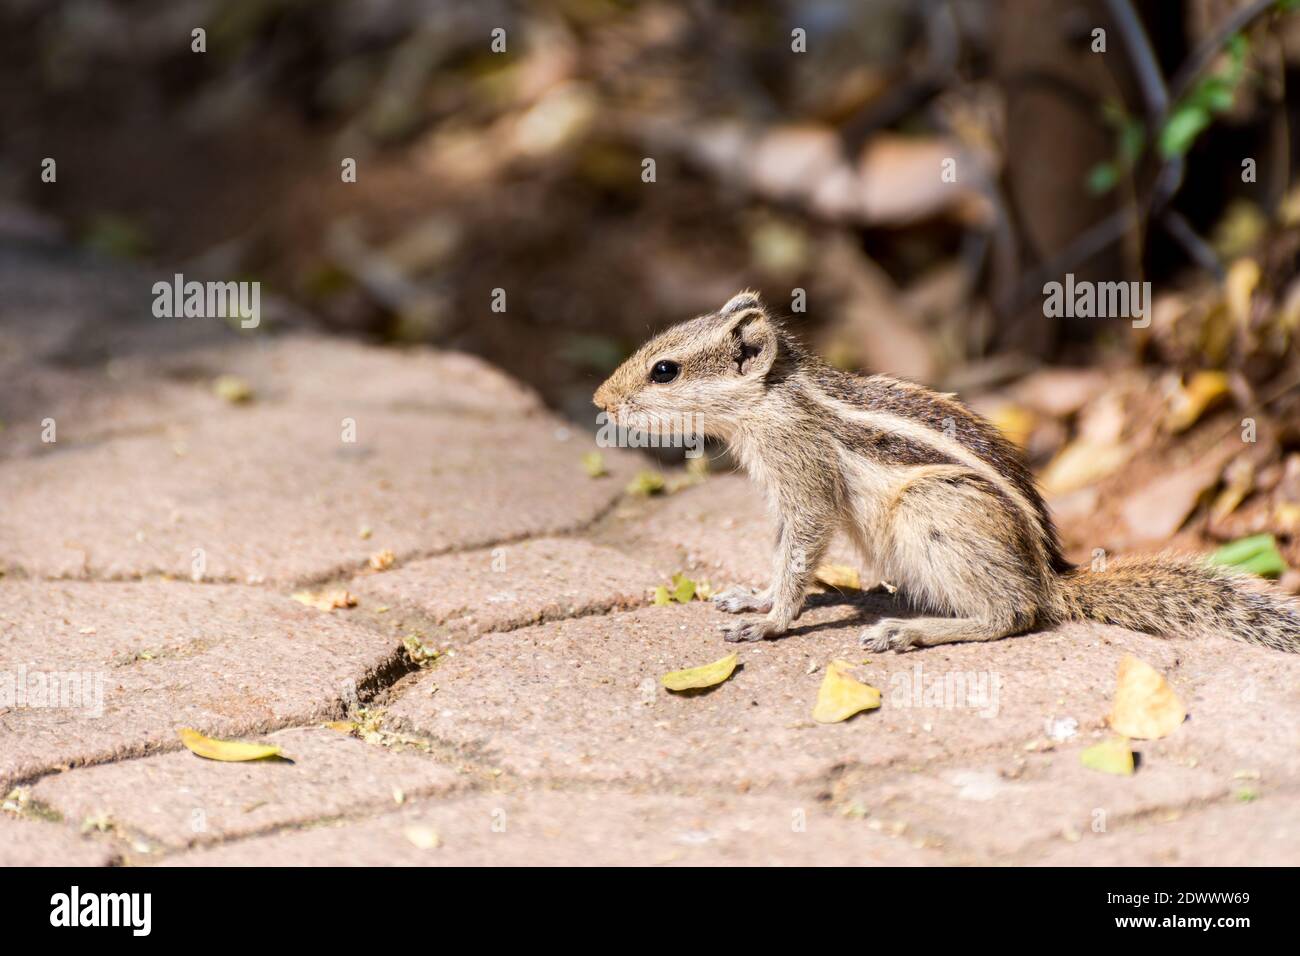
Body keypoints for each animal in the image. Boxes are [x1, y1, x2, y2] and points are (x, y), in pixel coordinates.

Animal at [593, 291, 1300, 653]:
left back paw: (910, 629)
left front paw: (770, 622)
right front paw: (755, 596)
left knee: (1014, 614)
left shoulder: (804, 477)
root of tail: (1051, 574)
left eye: (665, 371)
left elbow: (801, 553)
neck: (774, 397)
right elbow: (780, 557)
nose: (599, 401)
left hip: (935, 511)